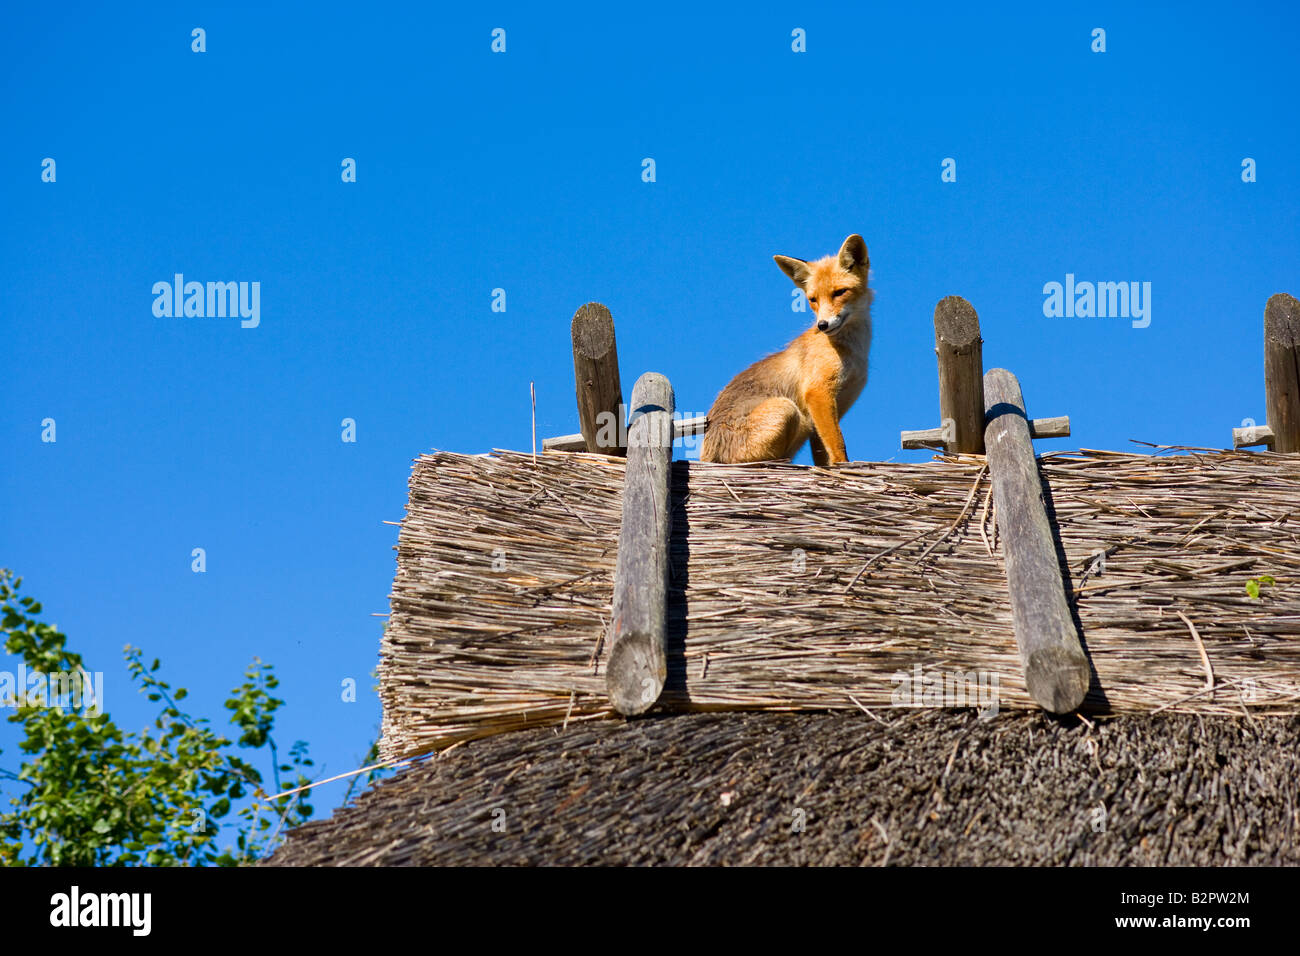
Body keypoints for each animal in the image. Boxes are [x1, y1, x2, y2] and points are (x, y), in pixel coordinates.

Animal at [700, 234, 872, 466]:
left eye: (840, 293)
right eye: (813, 299)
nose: (822, 325)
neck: (852, 351)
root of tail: (706, 456)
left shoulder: (826, 411)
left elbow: (823, 452)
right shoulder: (818, 393)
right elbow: (837, 445)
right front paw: (843, 466)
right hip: (786, 408)